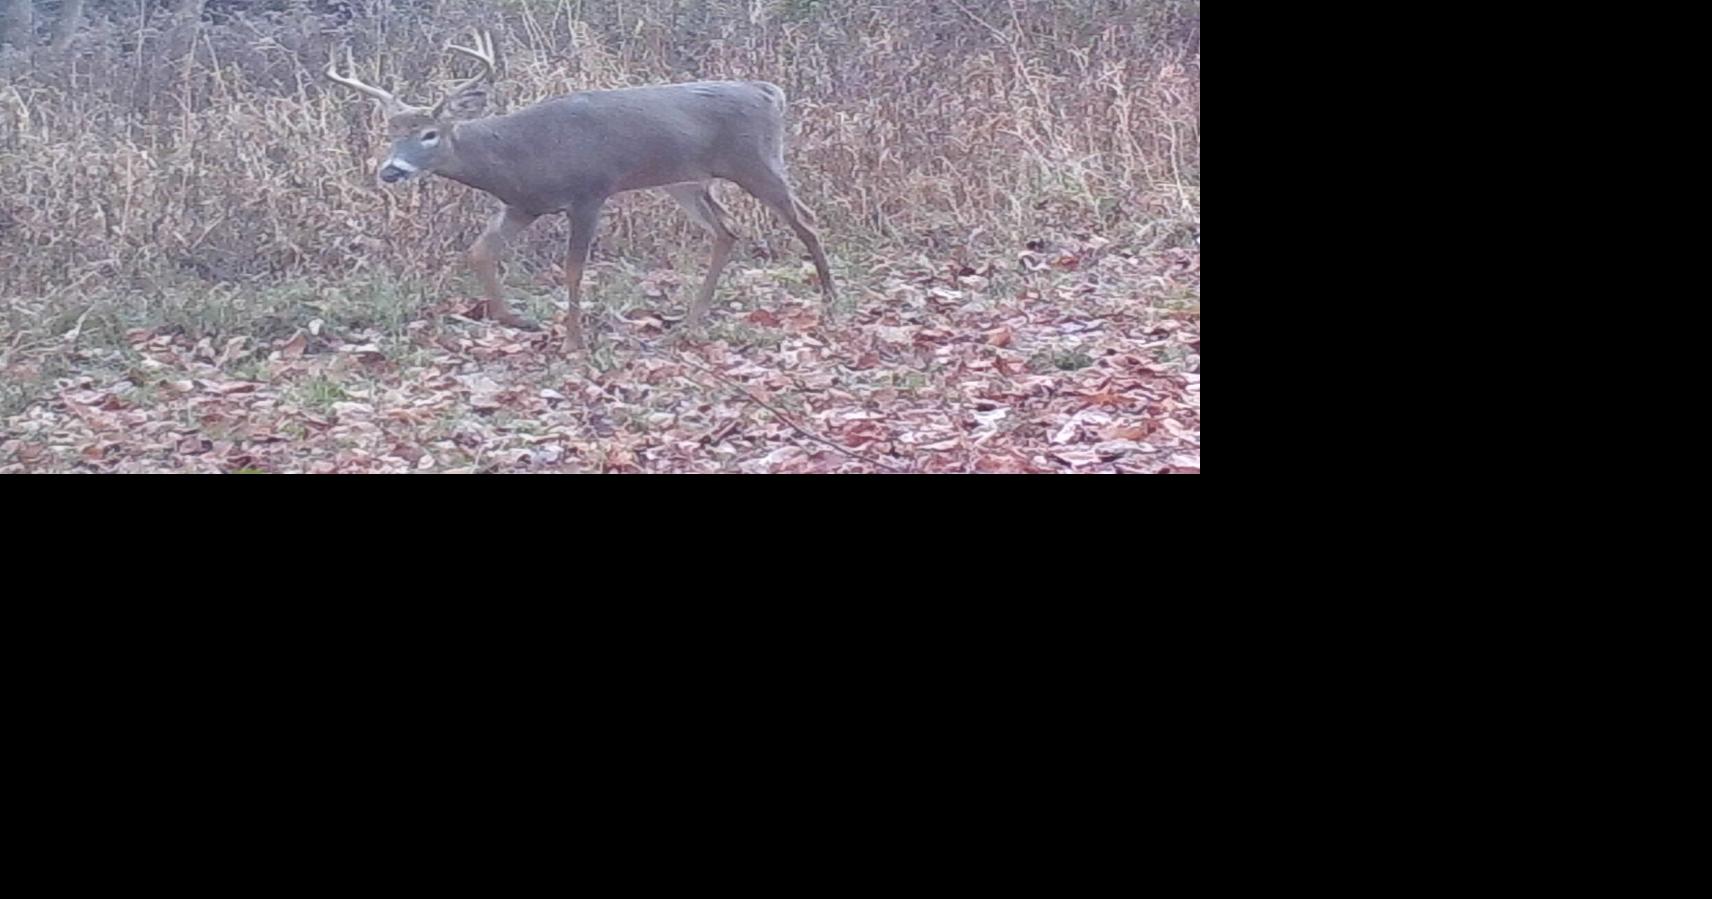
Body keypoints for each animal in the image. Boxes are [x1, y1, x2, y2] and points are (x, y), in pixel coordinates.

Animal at [323, 30, 836, 353]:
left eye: (430, 134)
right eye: (391, 133)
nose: (391, 170)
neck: (517, 155)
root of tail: (771, 91)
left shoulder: (589, 191)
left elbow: (573, 269)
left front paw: (573, 341)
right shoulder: (522, 204)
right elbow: (480, 252)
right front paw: (519, 320)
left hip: (756, 161)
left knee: (805, 218)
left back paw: (829, 301)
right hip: (685, 182)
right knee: (728, 229)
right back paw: (692, 320)